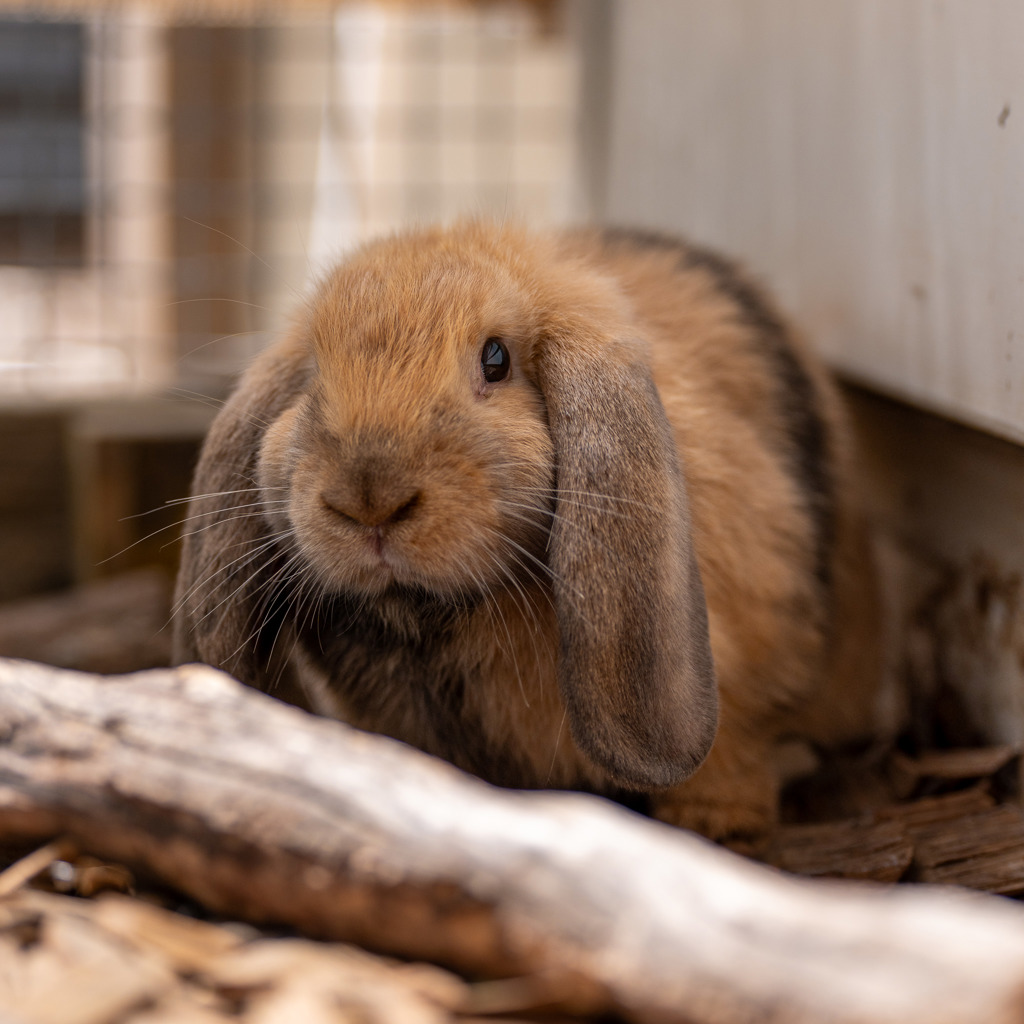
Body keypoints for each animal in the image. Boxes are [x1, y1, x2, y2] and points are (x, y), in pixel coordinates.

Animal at [172, 221, 883, 841]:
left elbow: (730, 752)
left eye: (496, 360)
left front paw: (714, 825)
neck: (438, 616)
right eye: (314, 373)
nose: (369, 501)